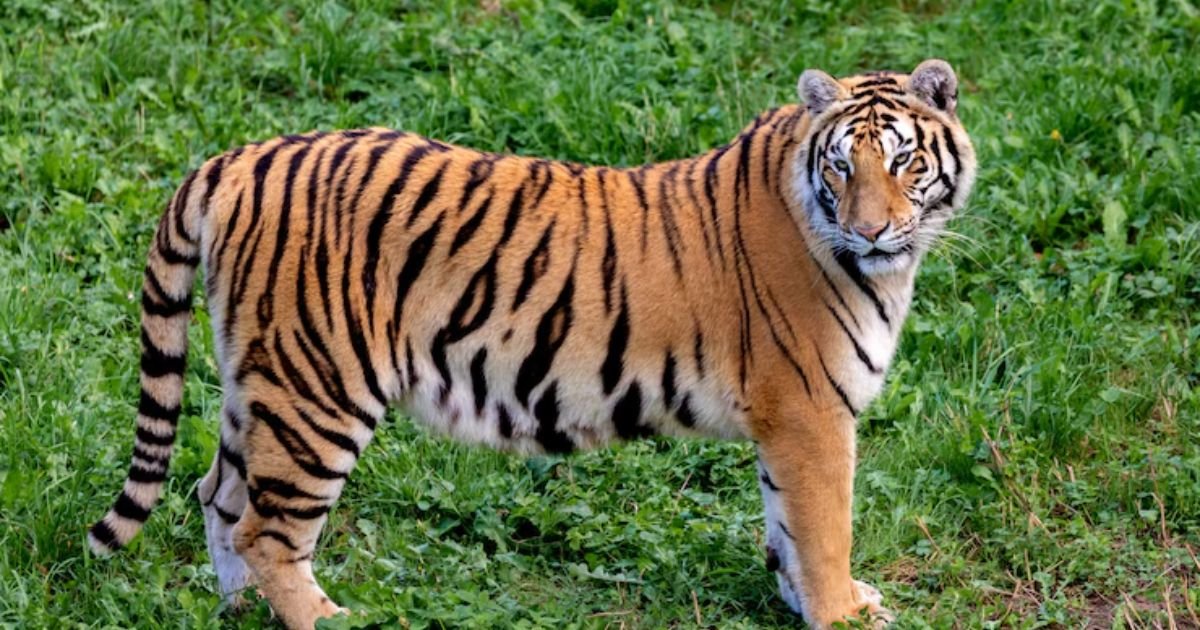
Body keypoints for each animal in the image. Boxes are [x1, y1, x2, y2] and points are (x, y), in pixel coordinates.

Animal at [87, 58, 975, 629]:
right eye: (842, 167)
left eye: (904, 162)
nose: (872, 230)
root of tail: (242, 157)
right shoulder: (810, 412)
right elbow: (822, 530)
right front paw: (841, 614)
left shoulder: (791, 420)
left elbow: (786, 528)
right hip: (317, 392)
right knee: (267, 532)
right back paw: (331, 619)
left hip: (261, 381)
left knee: (219, 497)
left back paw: (237, 609)